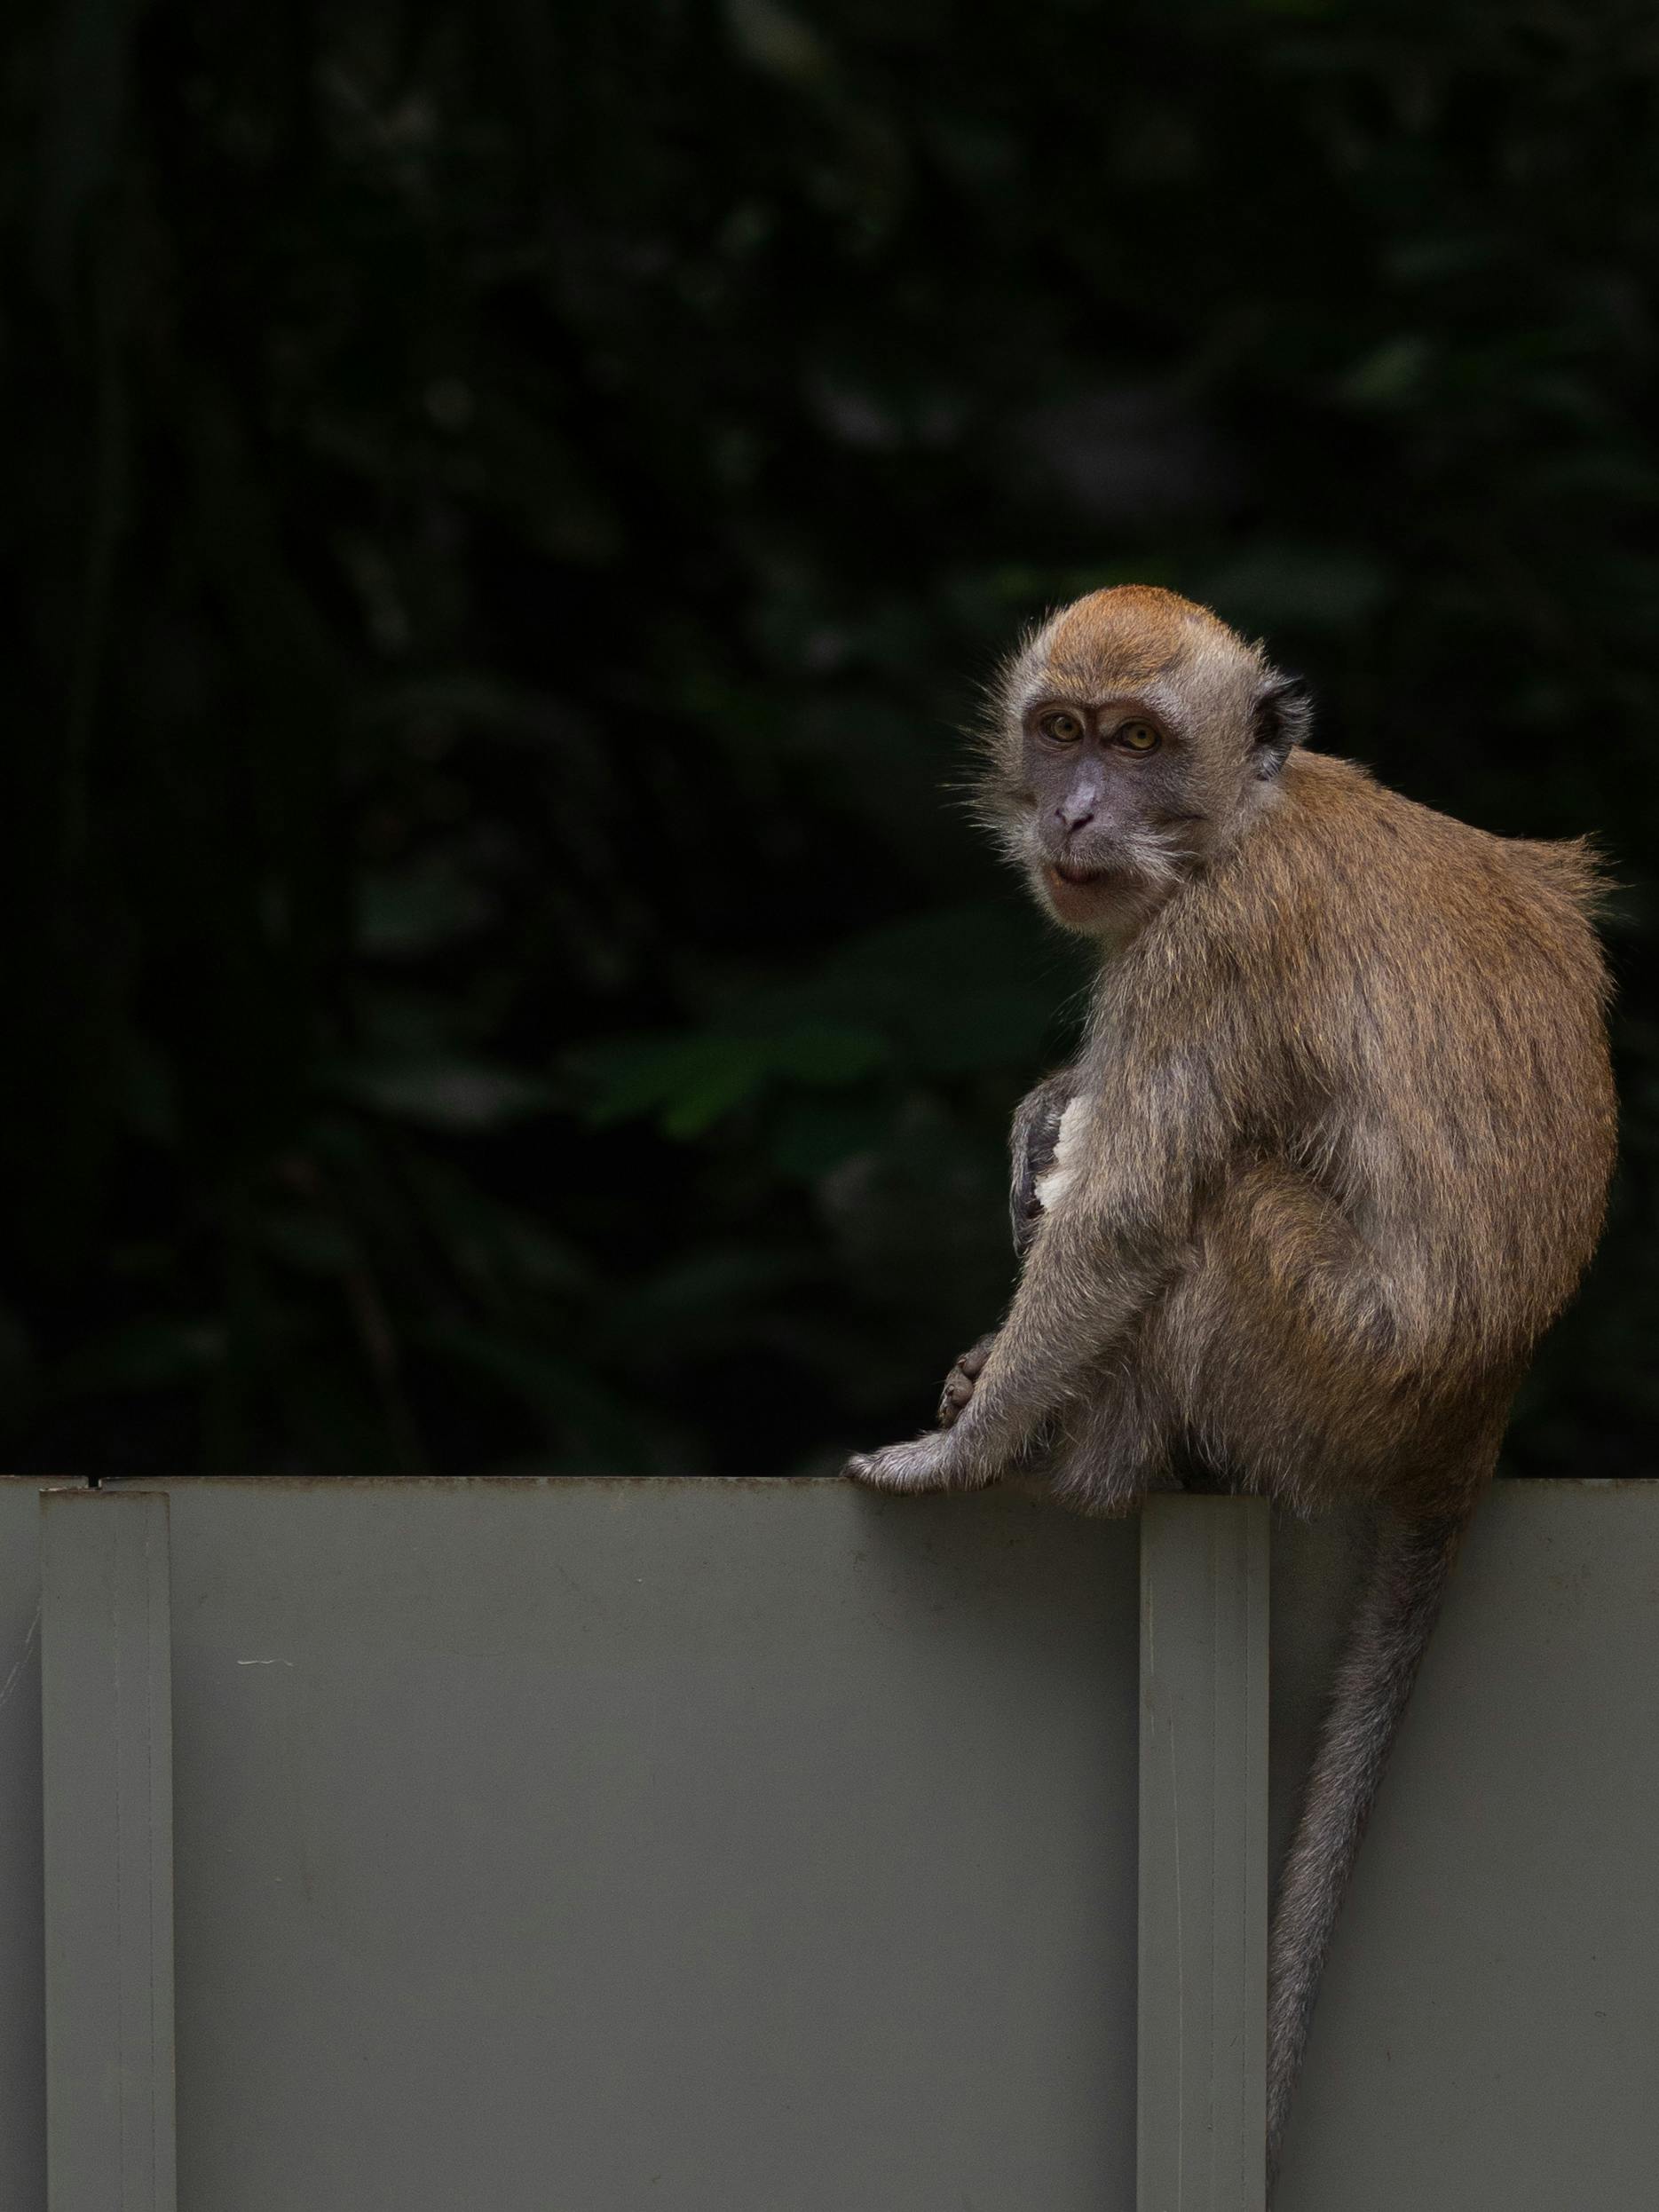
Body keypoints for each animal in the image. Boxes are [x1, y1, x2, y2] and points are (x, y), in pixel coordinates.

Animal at [844, 585, 1616, 2192]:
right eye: (1062, 729)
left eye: (1137, 744)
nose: (1075, 807)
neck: (1238, 820)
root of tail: (1476, 1410)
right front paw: (1035, 1123)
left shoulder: (1212, 946)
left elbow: (1129, 1215)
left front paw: (966, 1451)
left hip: (1319, 1367)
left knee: (1209, 1205)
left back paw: (1077, 1464)